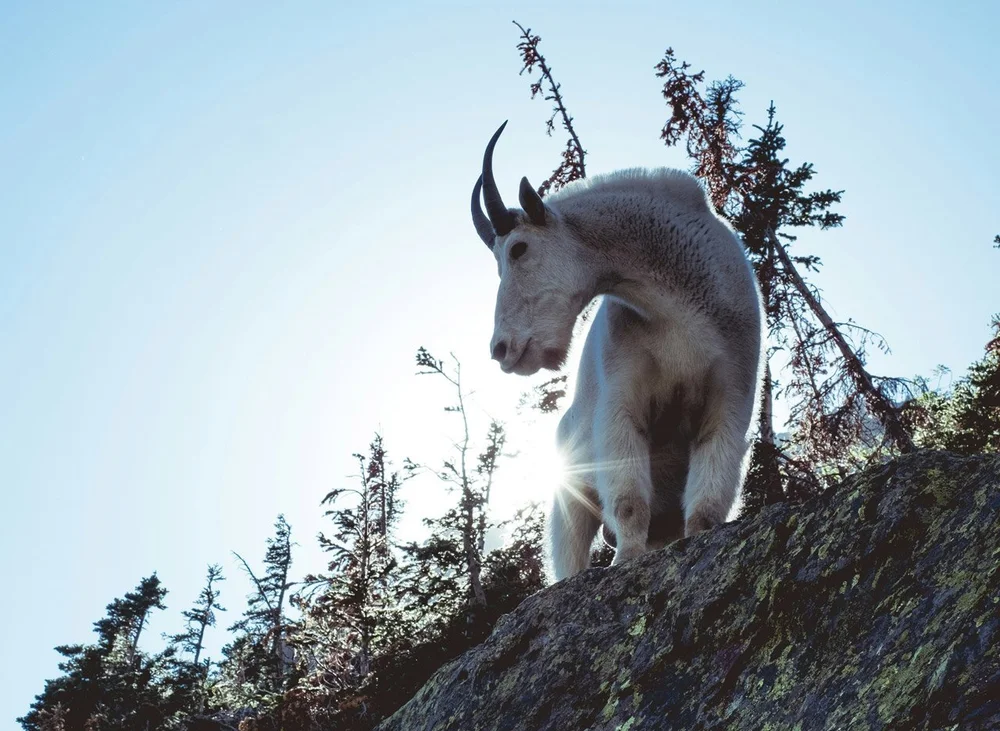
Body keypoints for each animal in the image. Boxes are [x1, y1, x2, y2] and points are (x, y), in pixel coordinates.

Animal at [471, 121, 764, 580]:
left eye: (518, 248)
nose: (503, 349)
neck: (674, 306)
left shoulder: (729, 396)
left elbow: (706, 505)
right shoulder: (622, 400)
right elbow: (628, 500)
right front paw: (625, 561)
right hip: (569, 498)